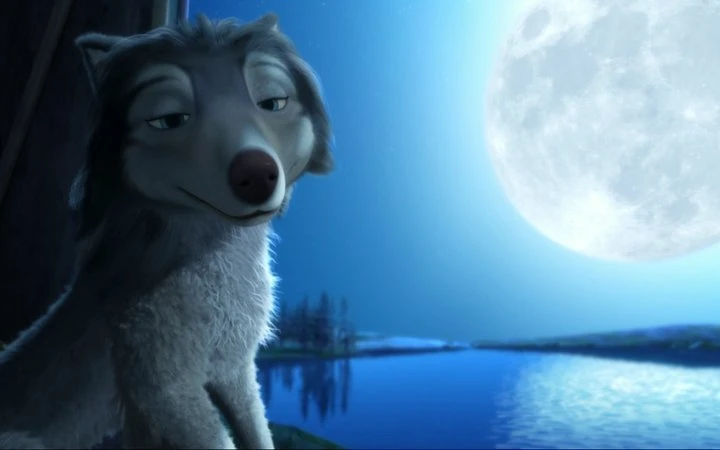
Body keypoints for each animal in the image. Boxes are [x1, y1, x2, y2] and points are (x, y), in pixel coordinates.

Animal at [0, 13, 333, 449]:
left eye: (272, 103)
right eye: (169, 120)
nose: (257, 175)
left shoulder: (234, 368)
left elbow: (256, 430)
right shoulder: (168, 394)